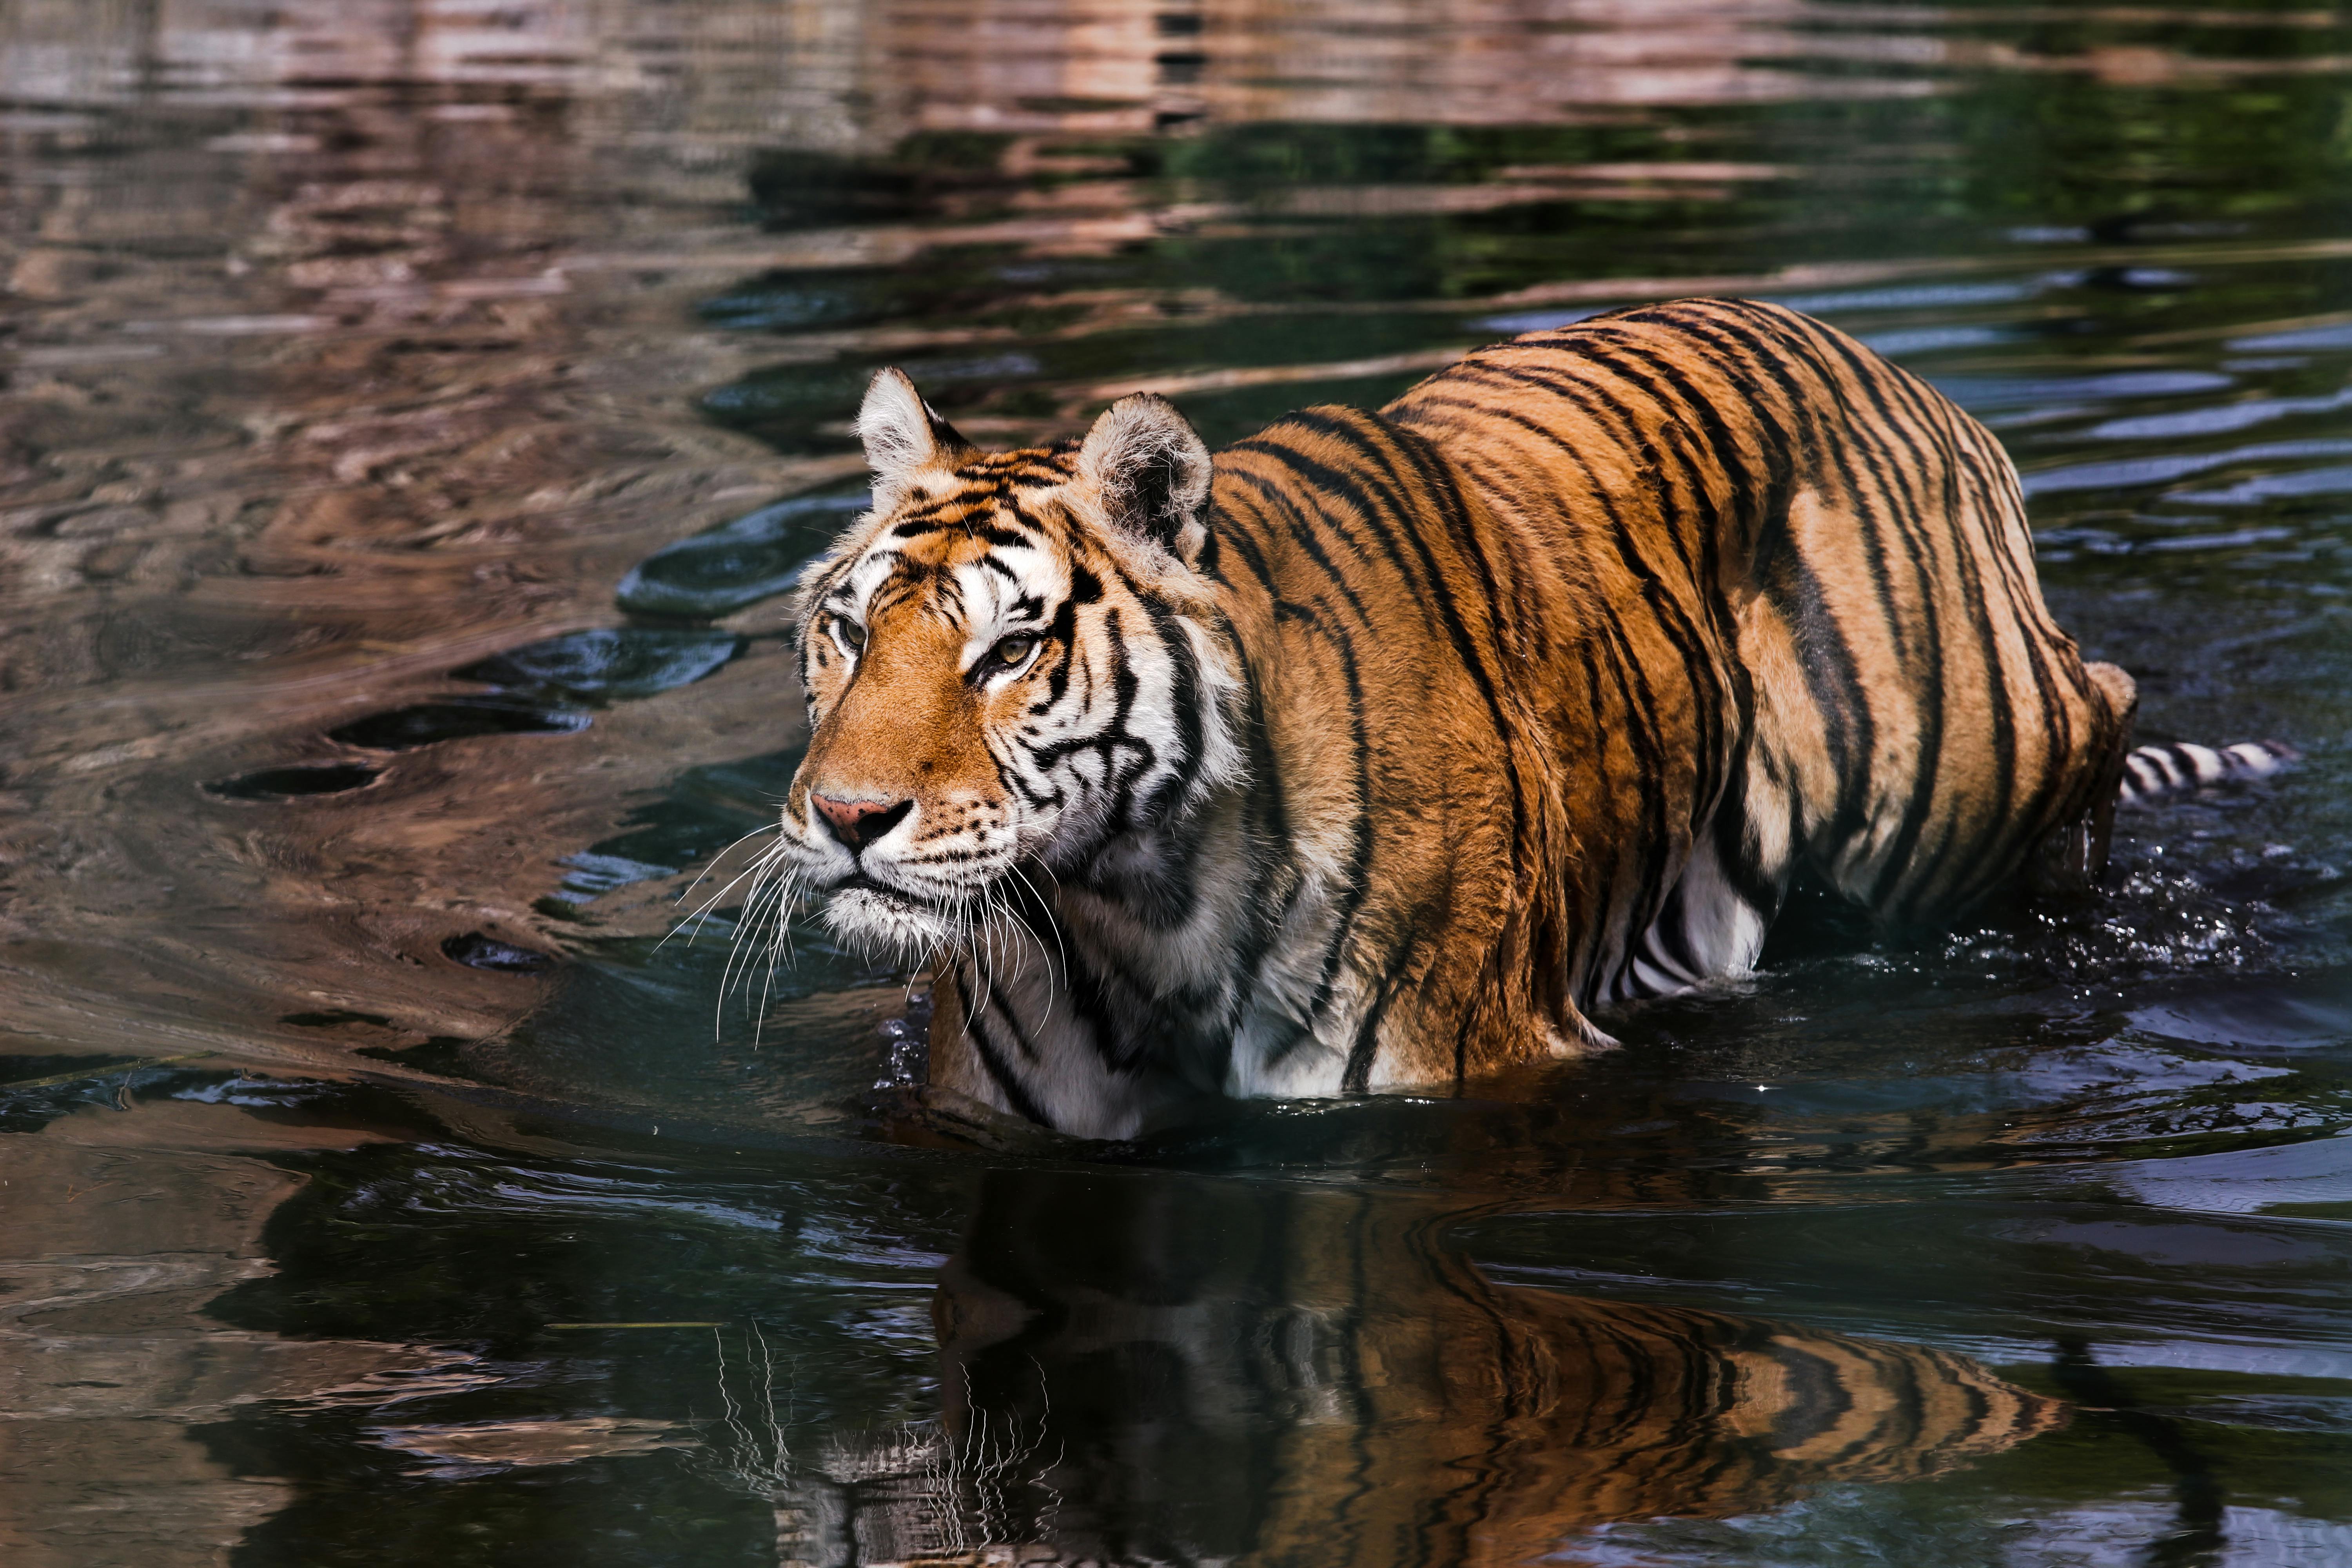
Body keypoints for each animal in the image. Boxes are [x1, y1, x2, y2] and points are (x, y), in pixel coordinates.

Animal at [770, 295, 2287, 1141]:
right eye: (849, 632)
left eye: (1010, 648)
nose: (846, 819)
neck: (1130, 918)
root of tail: (1889, 368)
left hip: (1956, 773)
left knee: (2104, 706)